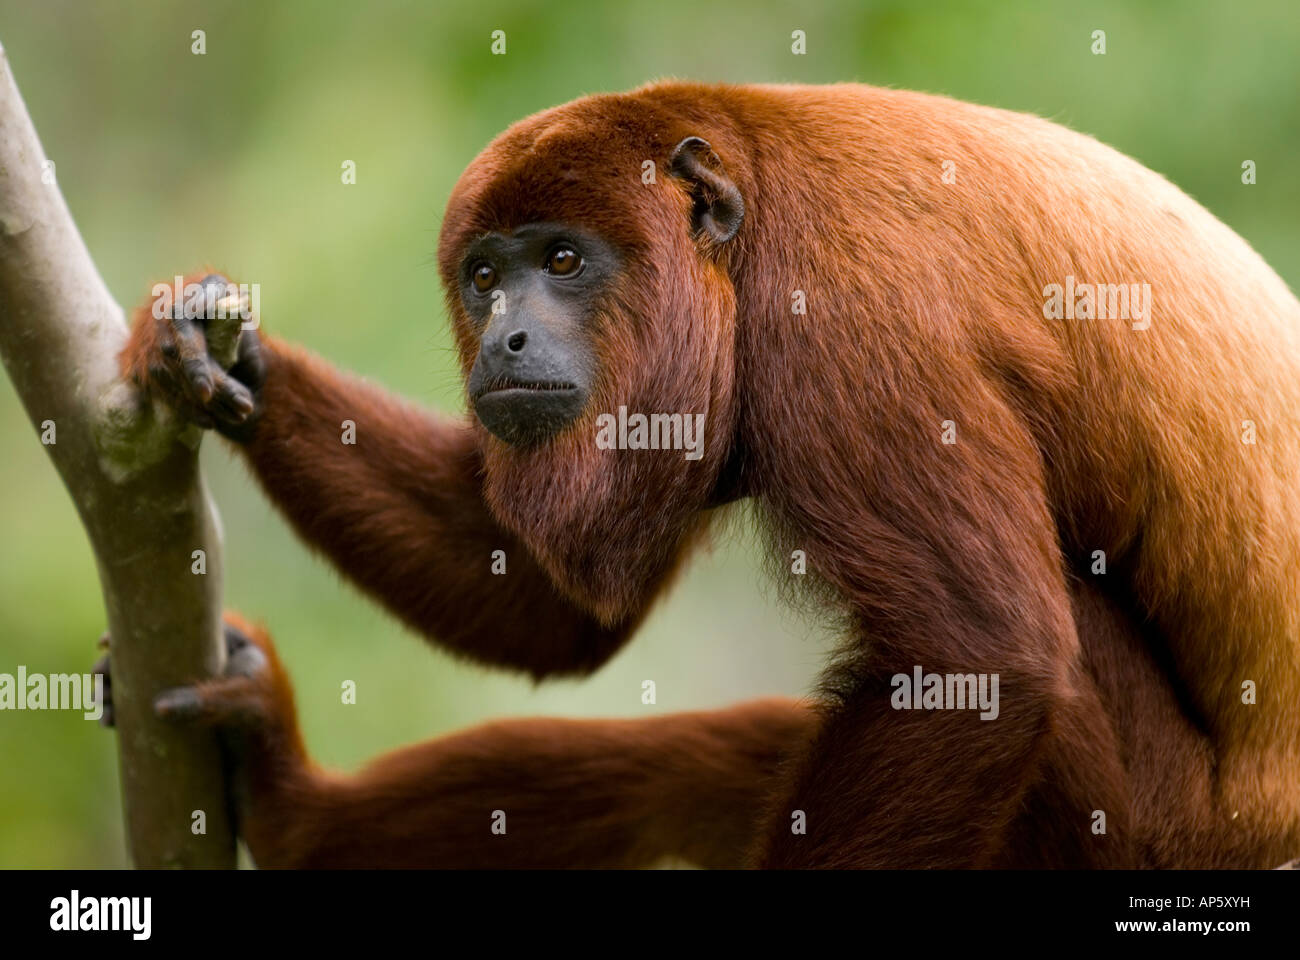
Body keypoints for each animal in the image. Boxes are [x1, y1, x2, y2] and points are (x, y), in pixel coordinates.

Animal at [108, 81, 1300, 868]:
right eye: (484, 276)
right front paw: (212, 356)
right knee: (688, 768)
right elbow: (549, 614)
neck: (754, 208)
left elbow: (980, 656)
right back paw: (293, 807)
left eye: (563, 260)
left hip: (1156, 827)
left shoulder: (851, 305)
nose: (502, 341)